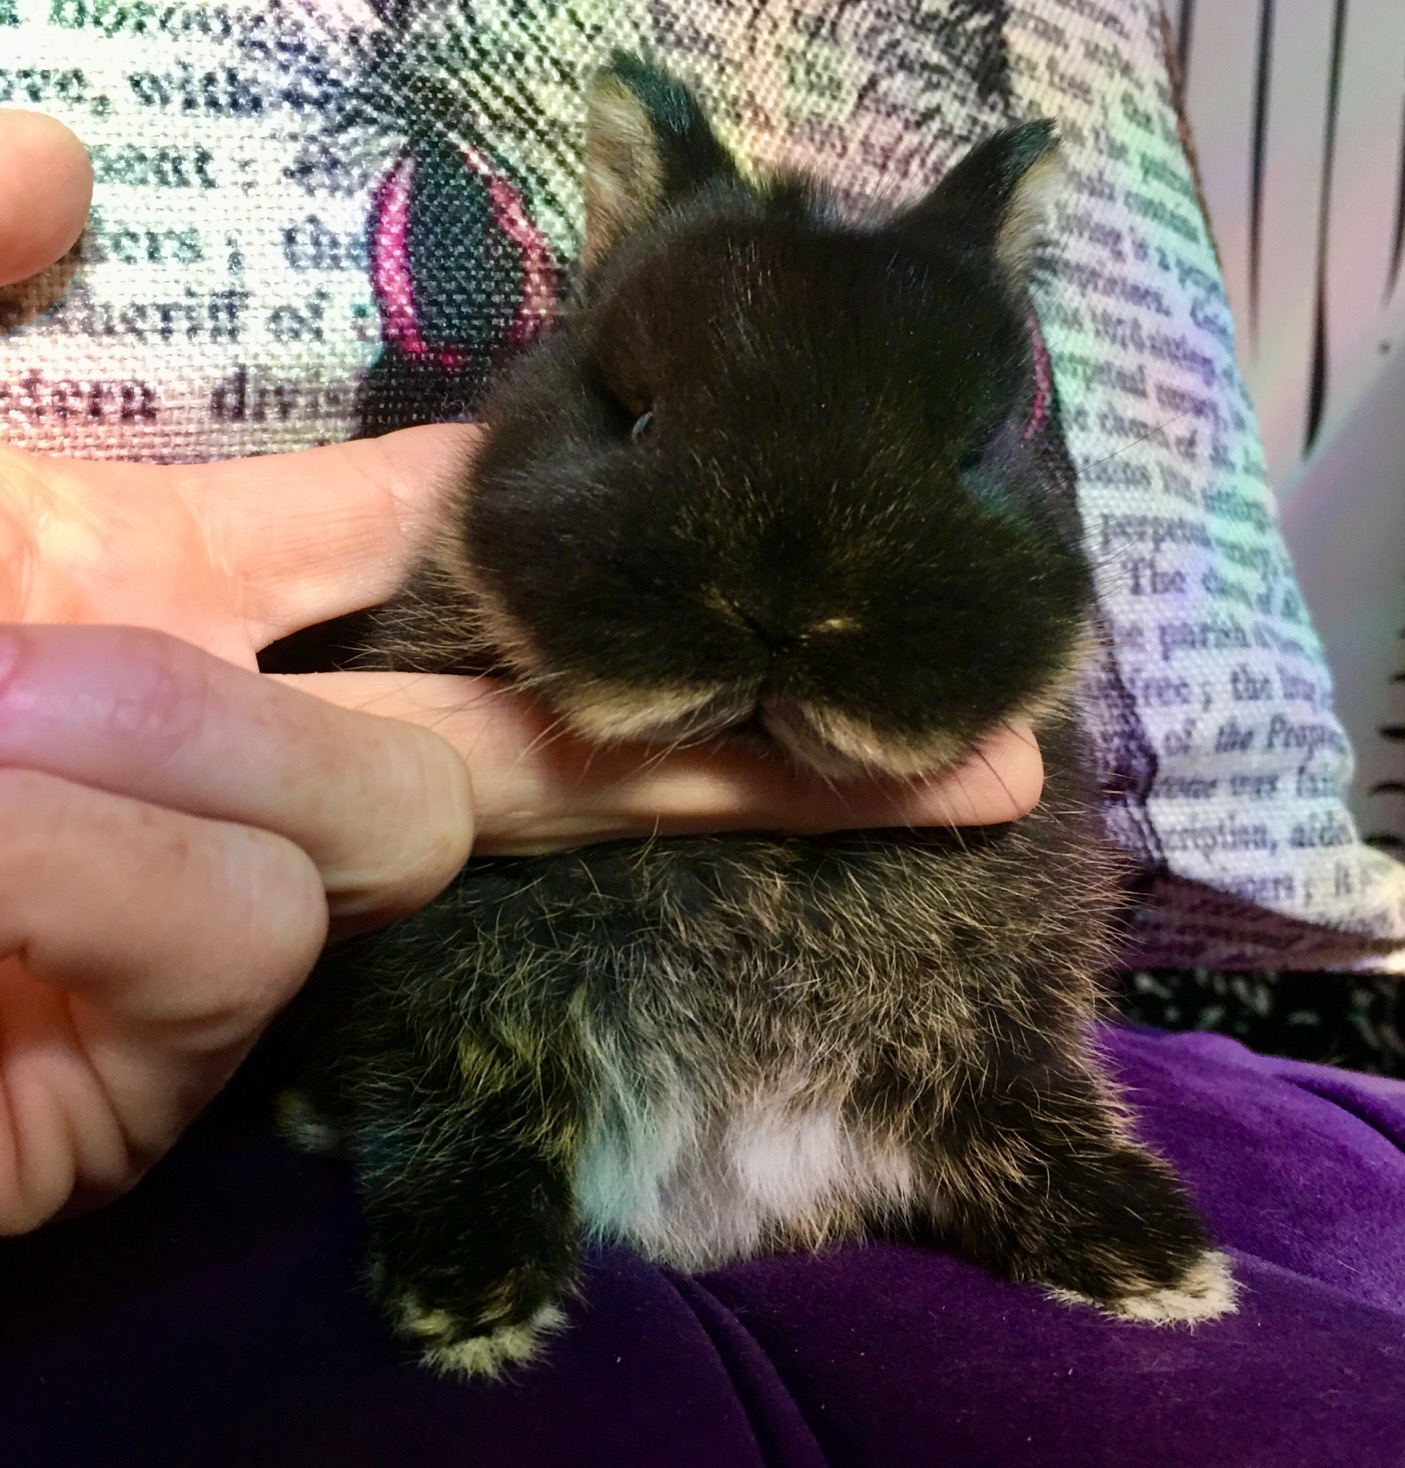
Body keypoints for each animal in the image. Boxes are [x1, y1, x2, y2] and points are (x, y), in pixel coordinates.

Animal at [275, 53, 1236, 1379]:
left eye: (974, 451)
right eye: (632, 414)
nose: (783, 609)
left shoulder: (1011, 1019)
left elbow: (1027, 1105)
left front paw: (1153, 1258)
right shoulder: (443, 998)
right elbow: (460, 1103)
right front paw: (467, 1295)